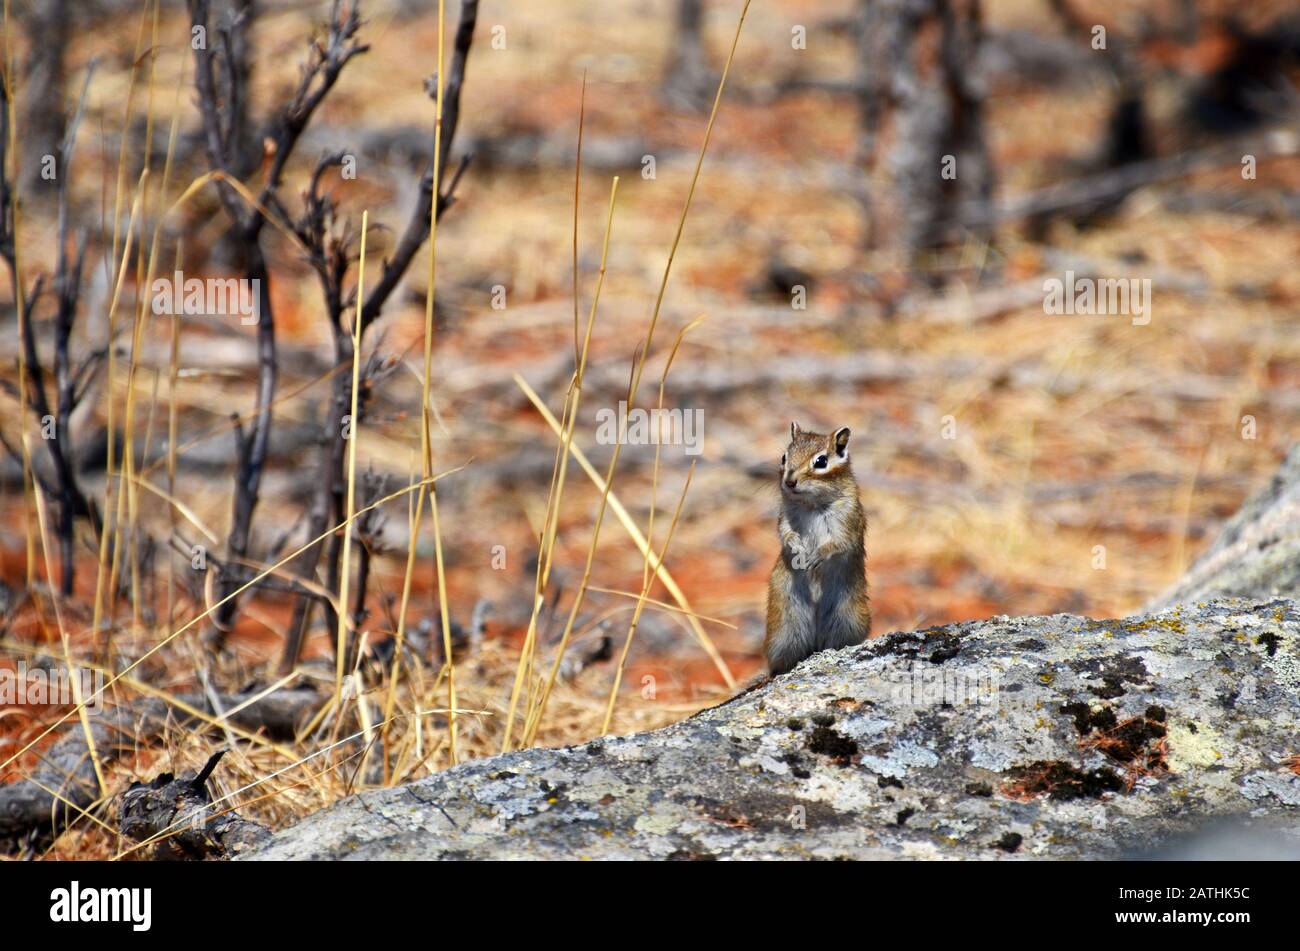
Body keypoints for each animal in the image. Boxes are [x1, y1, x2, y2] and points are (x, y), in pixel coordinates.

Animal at [764, 421, 871, 676]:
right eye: (784, 457)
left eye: (821, 462)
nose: (789, 481)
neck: (812, 504)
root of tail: (815, 644)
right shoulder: (785, 518)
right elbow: (785, 533)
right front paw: (798, 547)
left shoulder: (848, 522)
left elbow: (838, 543)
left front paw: (816, 556)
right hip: (784, 630)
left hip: (848, 621)